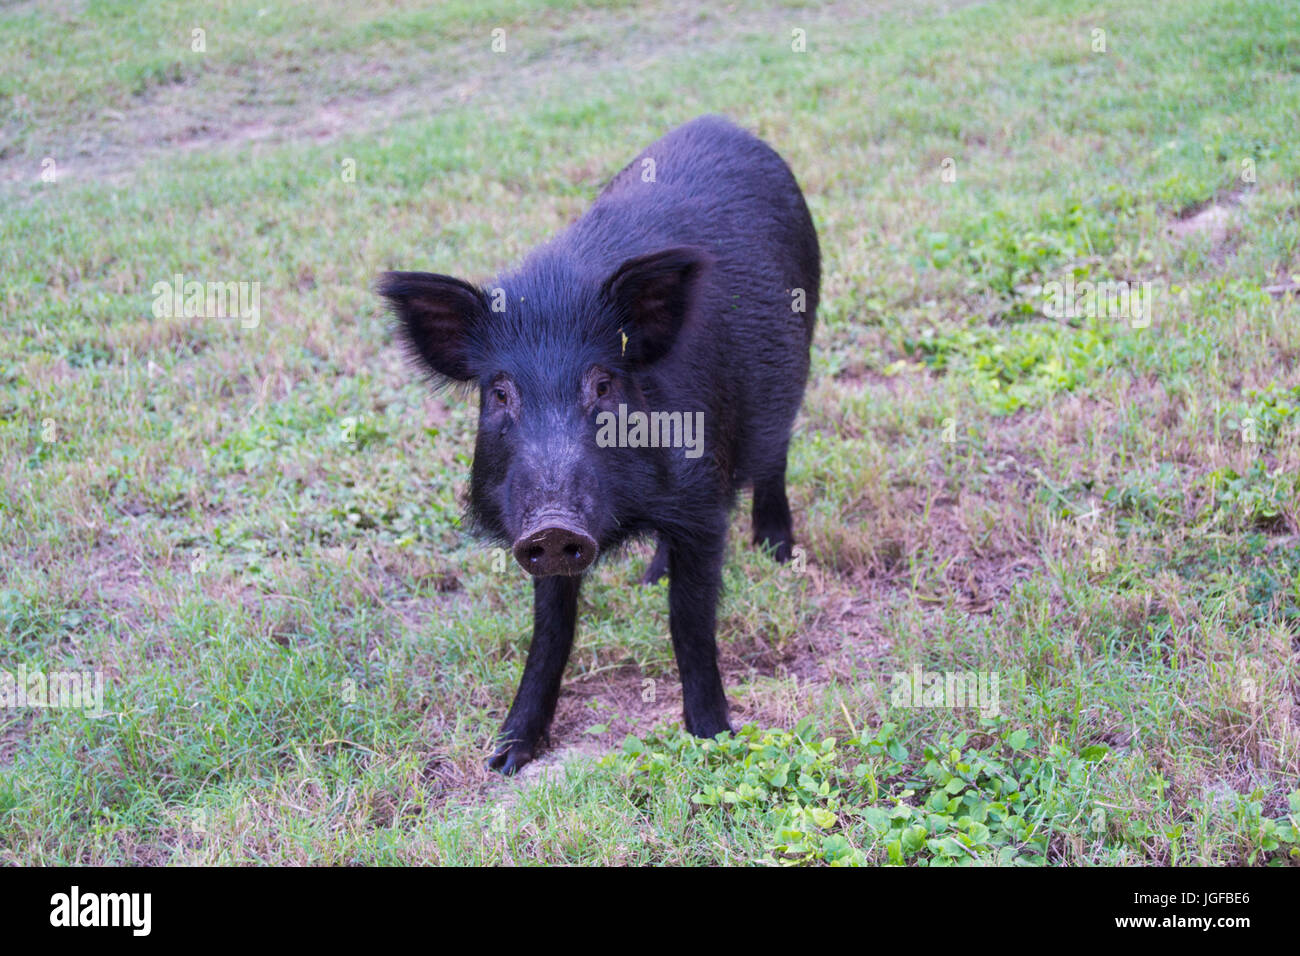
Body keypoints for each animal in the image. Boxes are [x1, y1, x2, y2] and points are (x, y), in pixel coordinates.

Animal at [378, 115, 819, 774]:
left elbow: (690, 621)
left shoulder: (700, 501)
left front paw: (714, 738)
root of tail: (725, 124)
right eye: (499, 392)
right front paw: (505, 757)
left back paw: (776, 552)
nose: (554, 525)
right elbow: (550, 629)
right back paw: (650, 578)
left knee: (776, 454)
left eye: (604, 384)